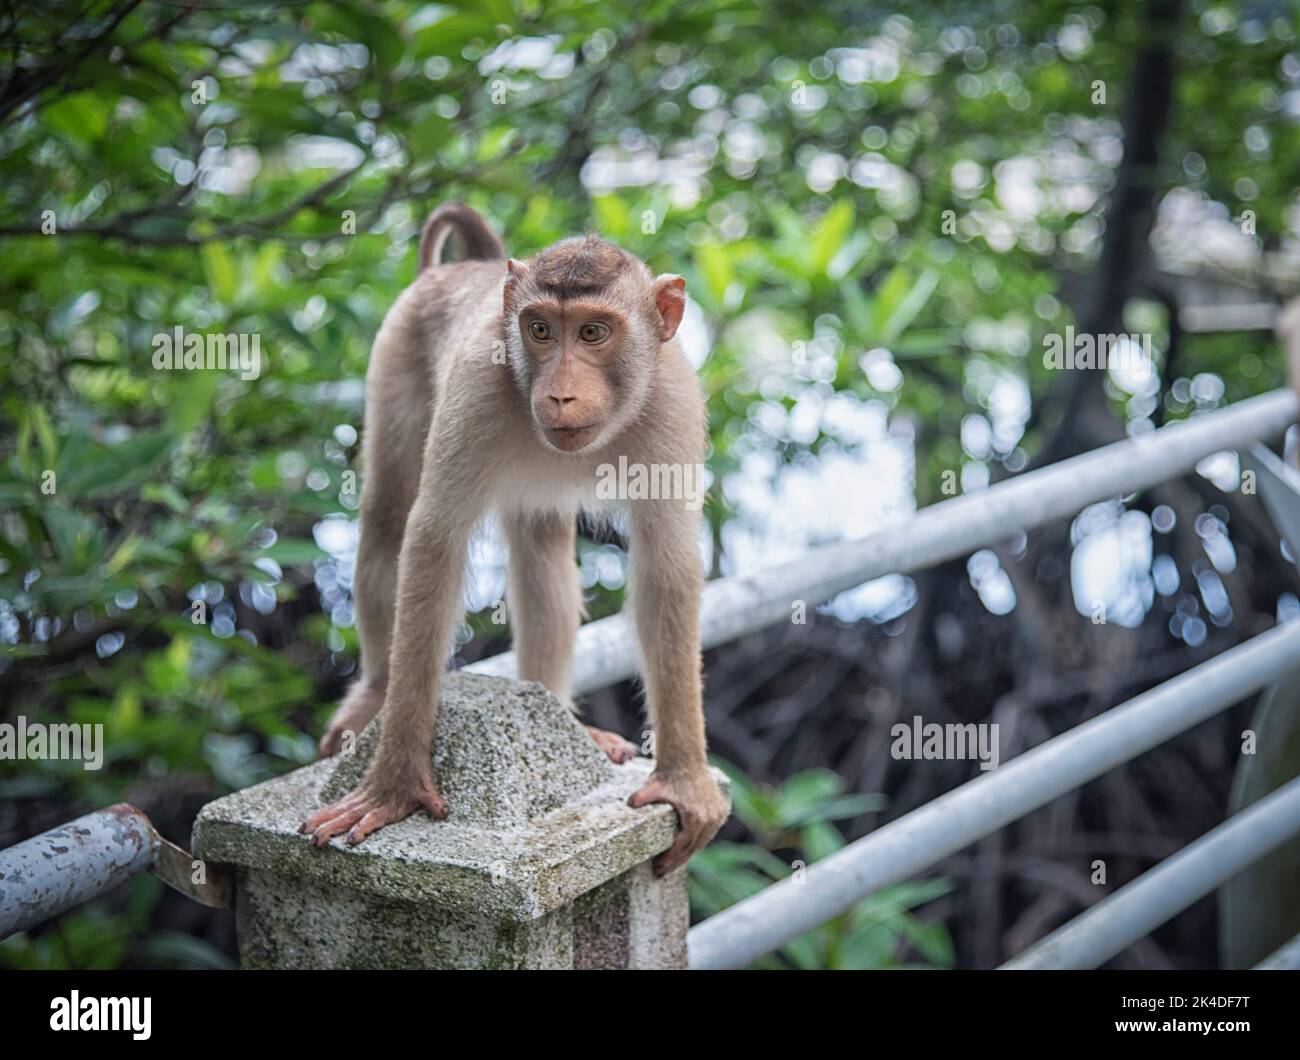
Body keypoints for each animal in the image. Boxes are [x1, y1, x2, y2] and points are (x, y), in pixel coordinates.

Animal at [300, 203, 728, 876]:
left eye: (593, 333)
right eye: (540, 330)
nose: (559, 392)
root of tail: (466, 266)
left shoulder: (672, 403)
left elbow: (667, 563)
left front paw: (684, 779)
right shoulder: (477, 382)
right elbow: (433, 542)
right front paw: (395, 783)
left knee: (540, 547)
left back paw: (555, 707)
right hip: (396, 357)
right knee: (388, 520)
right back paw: (372, 697)